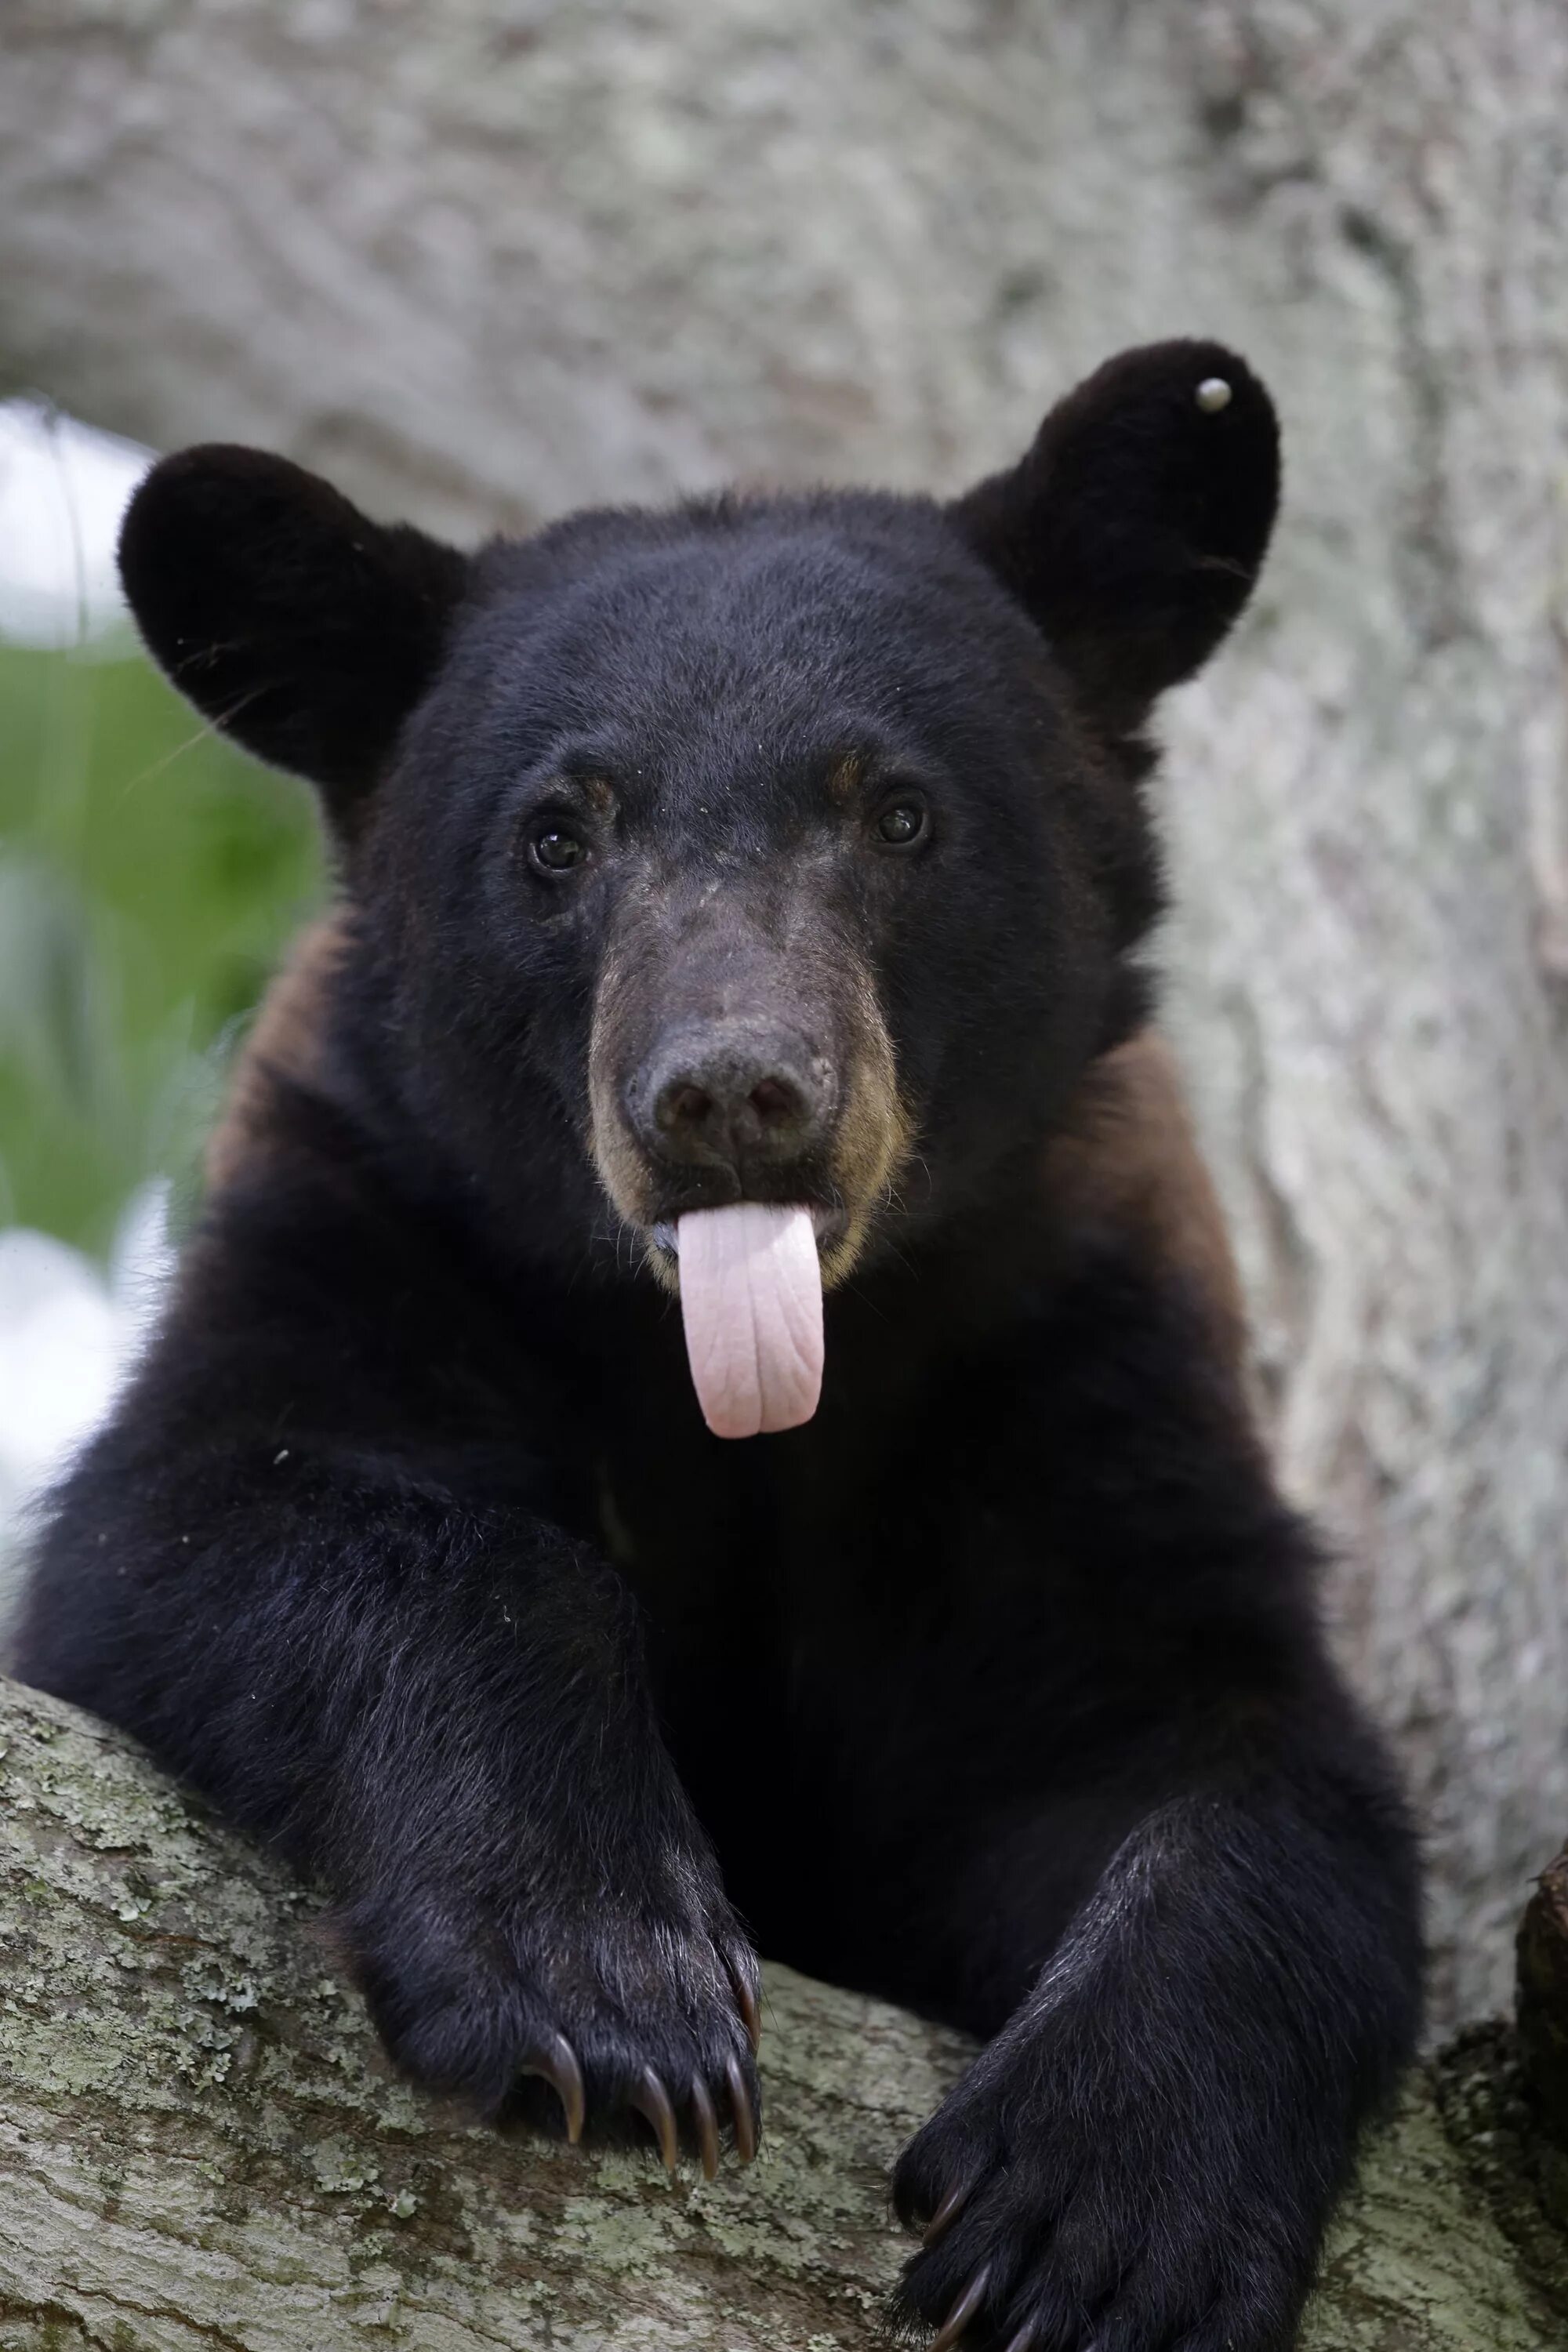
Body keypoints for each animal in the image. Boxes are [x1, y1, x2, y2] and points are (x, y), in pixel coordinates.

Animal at [16, 340, 1422, 2352]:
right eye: (557, 831)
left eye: (897, 810)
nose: (731, 1094)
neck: (745, 1390)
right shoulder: (364, 1222)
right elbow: (206, 1521)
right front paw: (601, 1985)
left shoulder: (1065, 1364)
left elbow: (1228, 1747)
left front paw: (1097, 2221)